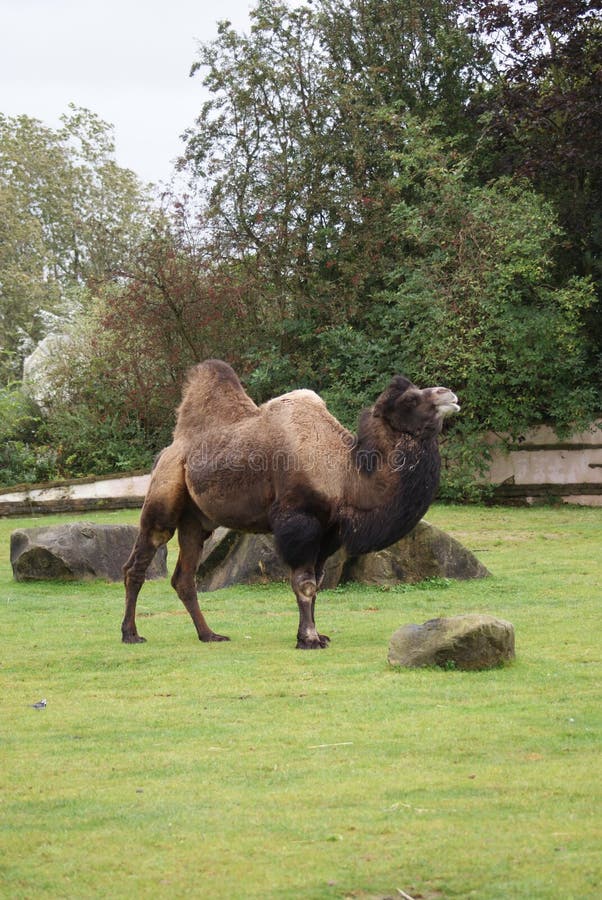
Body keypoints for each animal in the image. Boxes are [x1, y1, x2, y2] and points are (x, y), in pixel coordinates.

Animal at [122, 360, 459, 649]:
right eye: (410, 400)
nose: (449, 393)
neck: (348, 475)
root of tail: (169, 449)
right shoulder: (299, 520)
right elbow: (305, 583)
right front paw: (308, 639)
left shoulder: (329, 531)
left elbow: (317, 582)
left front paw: (314, 634)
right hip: (163, 496)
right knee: (139, 559)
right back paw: (131, 634)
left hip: (196, 519)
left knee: (184, 577)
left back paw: (209, 634)